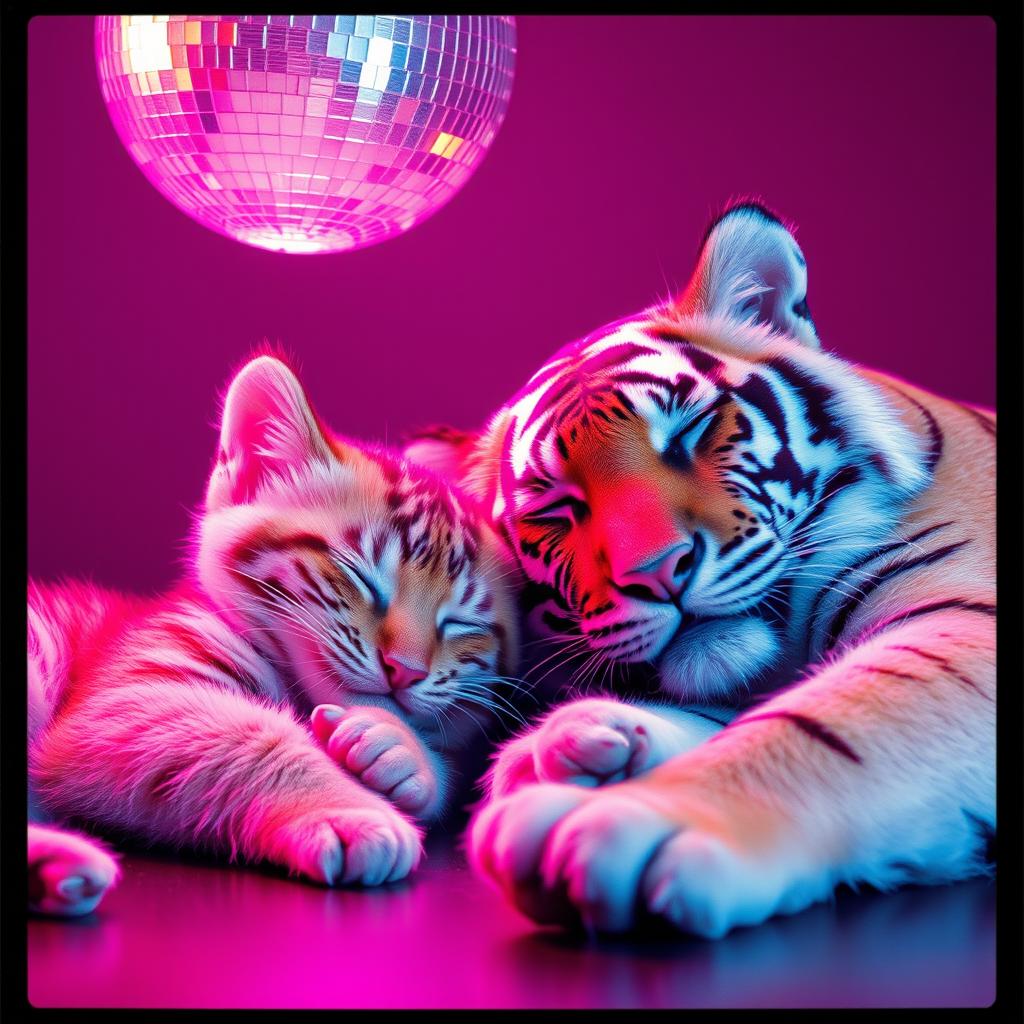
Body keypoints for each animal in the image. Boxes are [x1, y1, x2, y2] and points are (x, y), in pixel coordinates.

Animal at [28, 355, 519, 916]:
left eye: (460, 622)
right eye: (360, 576)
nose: (406, 670)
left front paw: (401, 751)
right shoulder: (127, 701)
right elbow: (252, 738)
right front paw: (350, 810)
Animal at [404, 201, 995, 938]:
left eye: (690, 430)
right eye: (557, 508)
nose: (658, 571)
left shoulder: (967, 626)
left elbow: (815, 725)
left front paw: (618, 814)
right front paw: (574, 743)